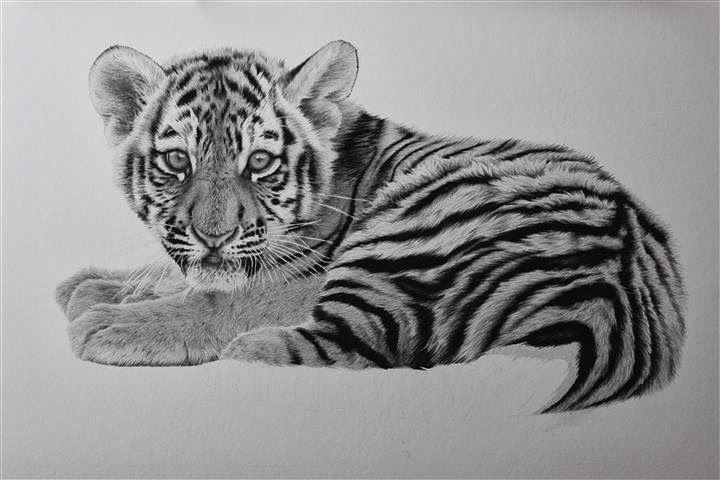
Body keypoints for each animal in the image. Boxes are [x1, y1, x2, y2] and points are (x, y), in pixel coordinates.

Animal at [57, 40, 685, 413]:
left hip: (405, 228)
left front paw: (109, 320)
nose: (214, 236)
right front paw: (93, 285)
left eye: (259, 162)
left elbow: (228, 297)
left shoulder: (296, 276)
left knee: (347, 345)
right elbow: (176, 272)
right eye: (176, 161)